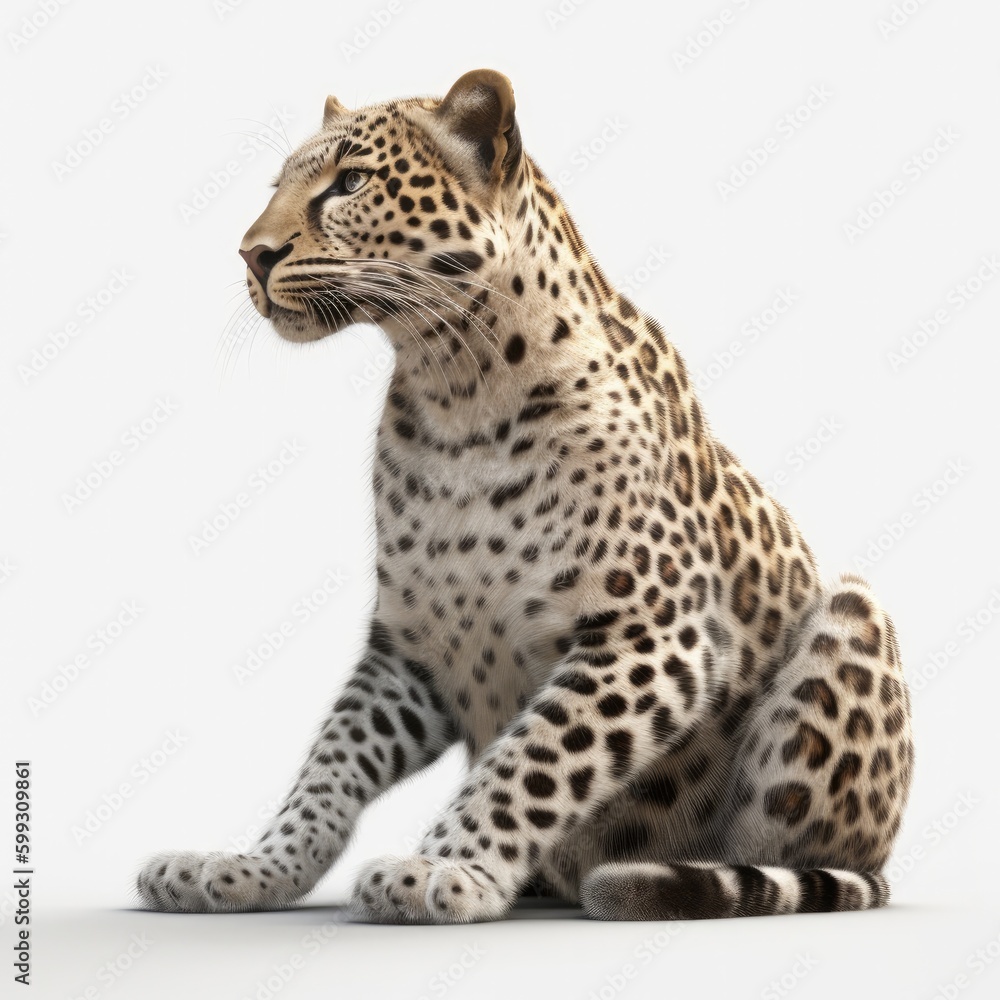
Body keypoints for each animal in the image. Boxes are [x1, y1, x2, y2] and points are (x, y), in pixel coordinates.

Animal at [135, 69, 914, 923]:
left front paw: (443, 868)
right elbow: (329, 764)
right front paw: (251, 865)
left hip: (856, 618)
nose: (252, 253)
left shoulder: (650, 635)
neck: (454, 395)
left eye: (350, 182)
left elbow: (531, 762)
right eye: (276, 187)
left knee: (801, 864)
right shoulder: (409, 650)